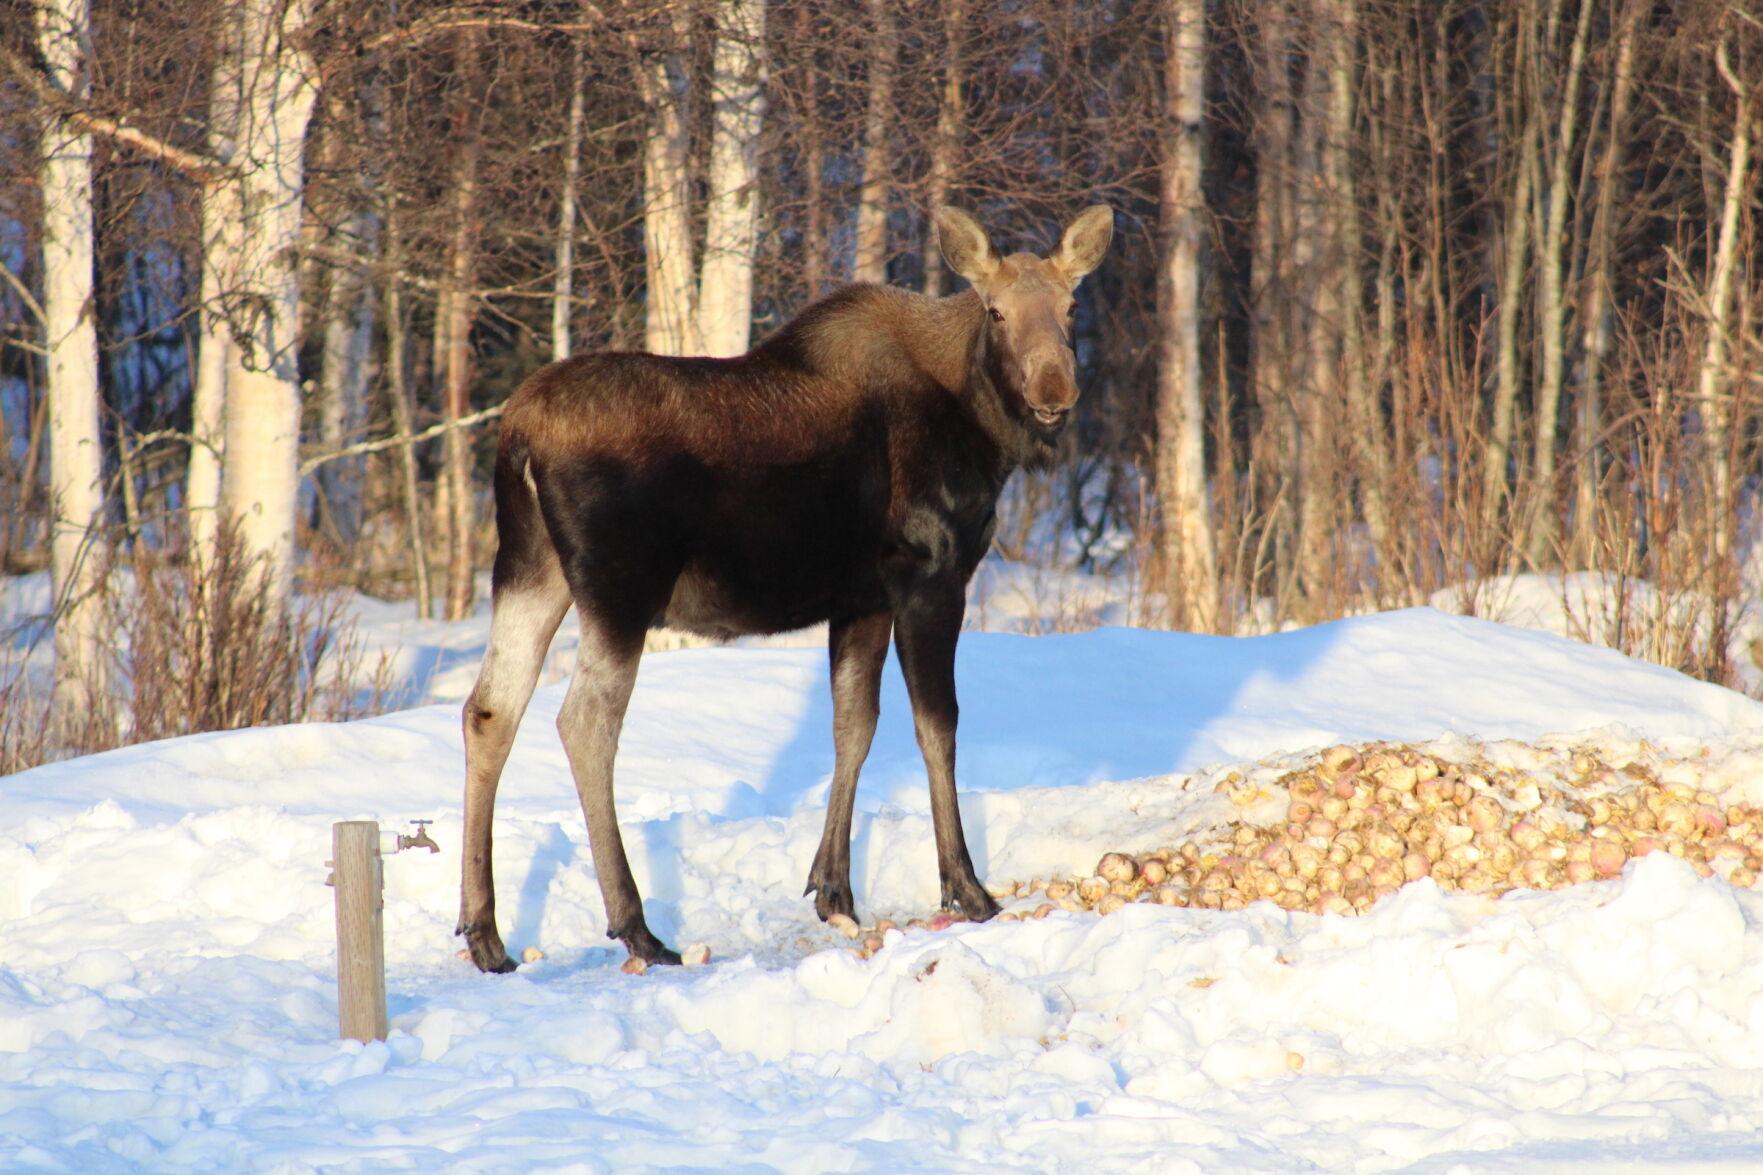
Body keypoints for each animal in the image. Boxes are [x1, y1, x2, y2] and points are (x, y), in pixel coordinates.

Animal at [456, 204, 1115, 972]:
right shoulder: (930, 574)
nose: (1054, 391)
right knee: (583, 723)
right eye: (997, 310)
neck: (983, 435)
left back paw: (485, 933)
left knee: (490, 709)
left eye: (1071, 307)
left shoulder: (862, 598)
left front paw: (834, 889)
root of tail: (518, 436)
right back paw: (636, 925)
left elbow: (853, 727)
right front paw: (966, 887)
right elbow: (937, 726)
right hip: (619, 589)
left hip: (530, 569)